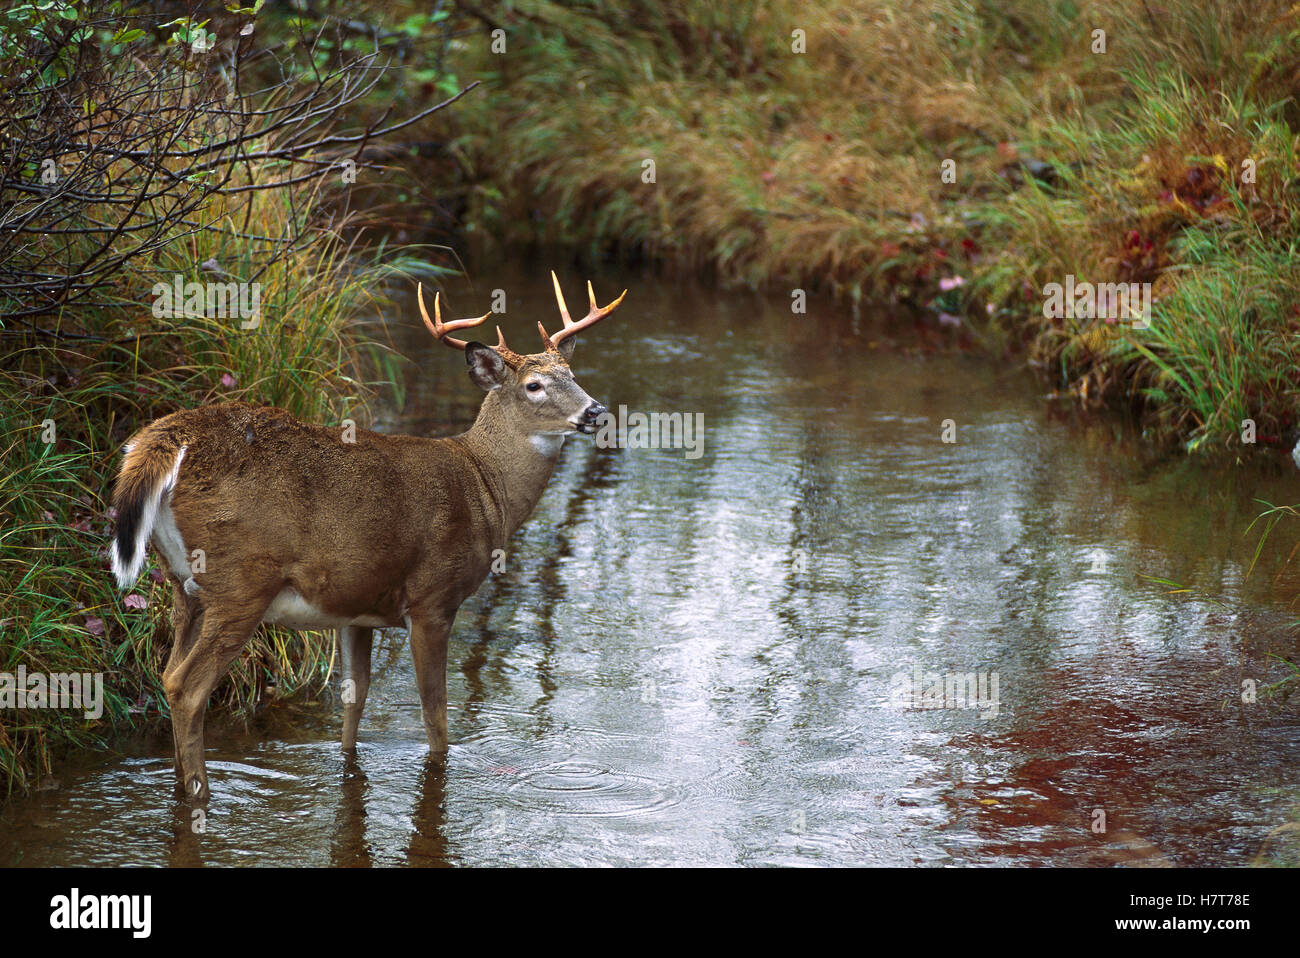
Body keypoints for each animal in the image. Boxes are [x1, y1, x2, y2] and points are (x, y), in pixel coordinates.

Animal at [108, 273, 626, 802]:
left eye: (572, 373)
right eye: (533, 385)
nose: (596, 411)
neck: (484, 486)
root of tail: (162, 439)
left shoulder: (356, 608)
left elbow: (353, 704)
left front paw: (348, 765)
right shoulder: (432, 598)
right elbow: (435, 718)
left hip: (183, 586)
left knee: (167, 675)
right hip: (241, 582)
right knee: (186, 687)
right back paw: (200, 793)